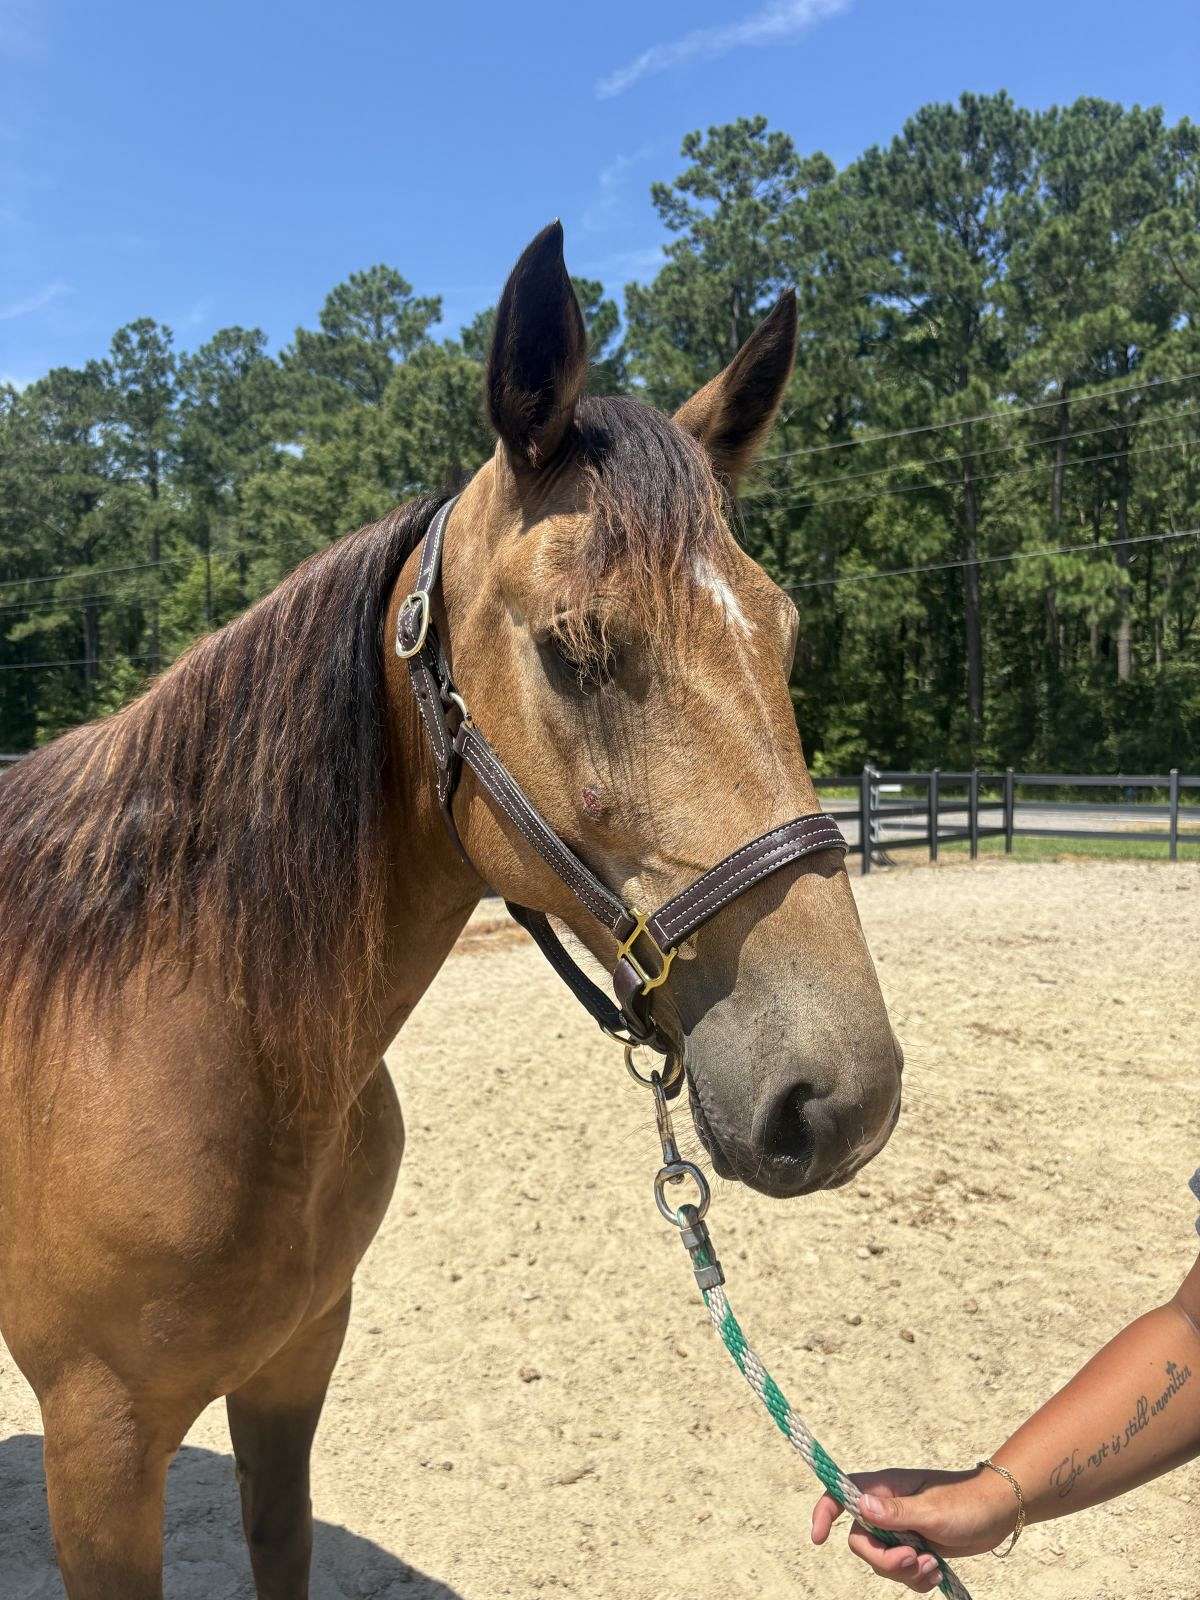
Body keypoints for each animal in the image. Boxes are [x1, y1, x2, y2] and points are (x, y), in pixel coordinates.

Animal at [0, 223, 902, 1599]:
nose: (843, 1097)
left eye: (786, 636)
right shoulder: (97, 1448)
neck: (191, 1042)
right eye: (575, 646)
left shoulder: (293, 1365)